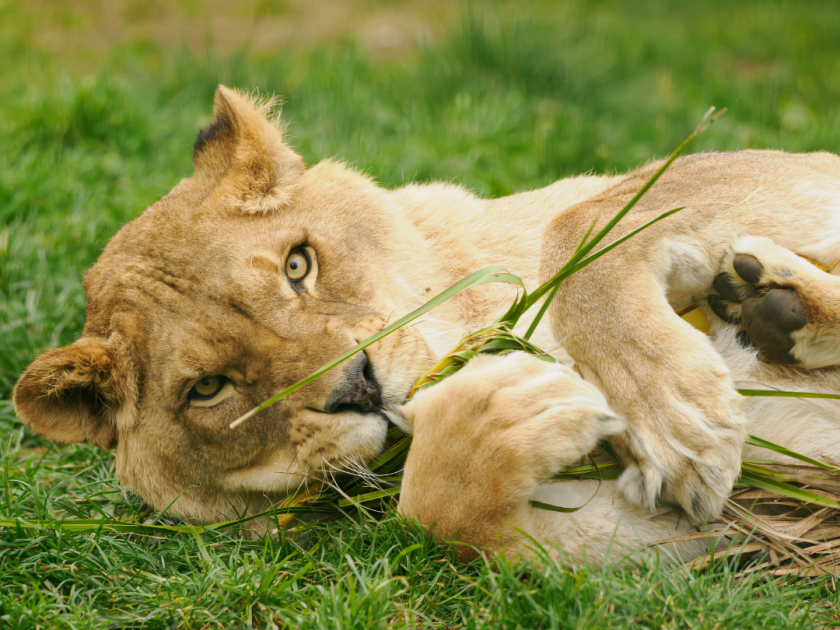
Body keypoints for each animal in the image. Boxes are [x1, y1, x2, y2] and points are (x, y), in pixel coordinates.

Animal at [13, 86, 840, 566]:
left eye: (298, 266)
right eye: (210, 389)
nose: (359, 386)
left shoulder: (788, 169)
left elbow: (580, 224)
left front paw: (676, 415)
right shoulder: (680, 545)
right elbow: (439, 513)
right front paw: (509, 408)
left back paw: (775, 300)